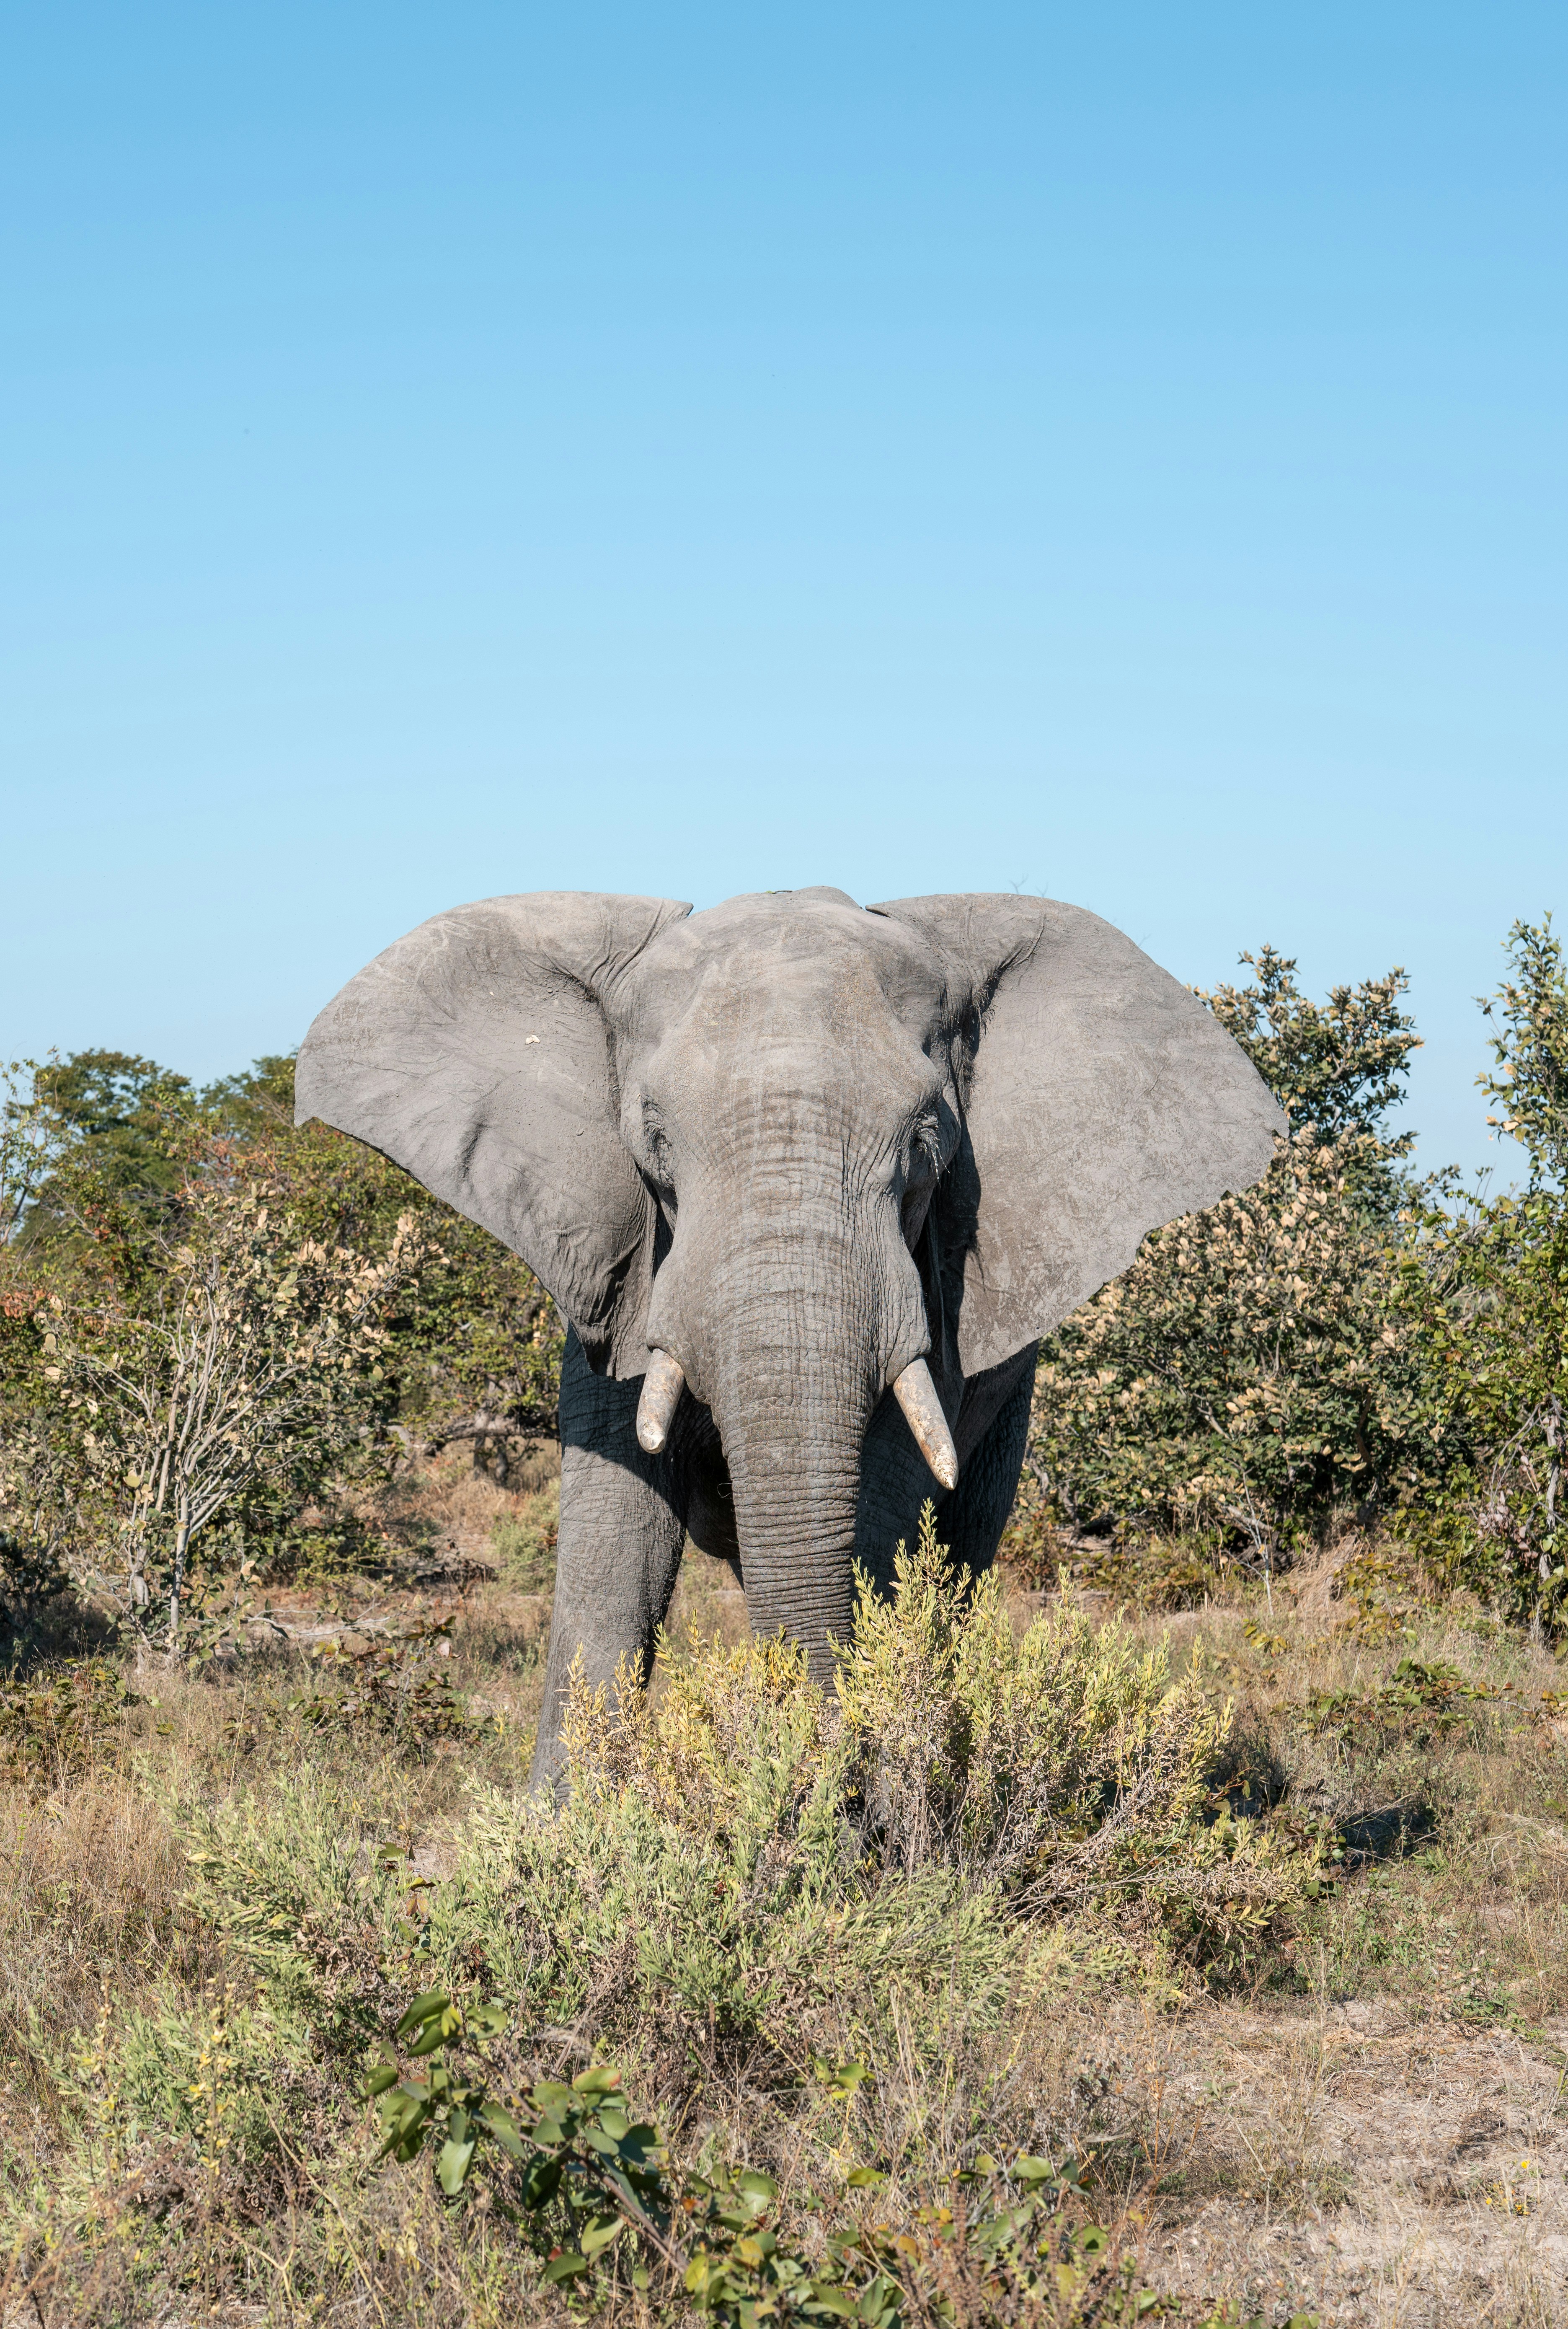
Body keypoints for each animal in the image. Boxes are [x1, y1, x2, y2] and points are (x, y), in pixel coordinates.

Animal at [295, 886, 1283, 1786]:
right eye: (653, 1139)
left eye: (925, 1141)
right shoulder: (615, 1264)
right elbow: (618, 1533)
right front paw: (560, 1836)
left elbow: (880, 1512)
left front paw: (870, 1818)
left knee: (960, 1547)